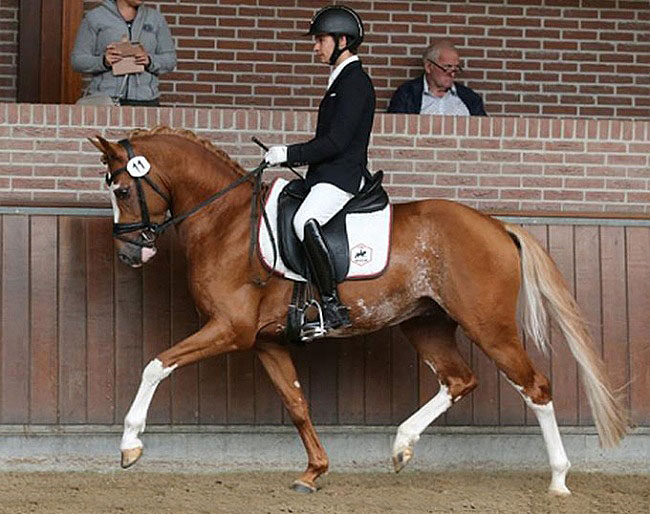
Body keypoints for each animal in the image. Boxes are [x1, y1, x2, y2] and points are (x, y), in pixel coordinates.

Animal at [89, 126, 627, 496]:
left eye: (122, 190)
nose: (129, 255)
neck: (226, 221)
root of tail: (495, 225)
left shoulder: (230, 329)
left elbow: (156, 365)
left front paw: (130, 445)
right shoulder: (264, 341)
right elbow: (297, 403)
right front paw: (314, 472)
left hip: (489, 326)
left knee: (535, 387)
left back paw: (558, 480)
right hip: (425, 324)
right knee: (458, 380)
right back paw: (401, 445)